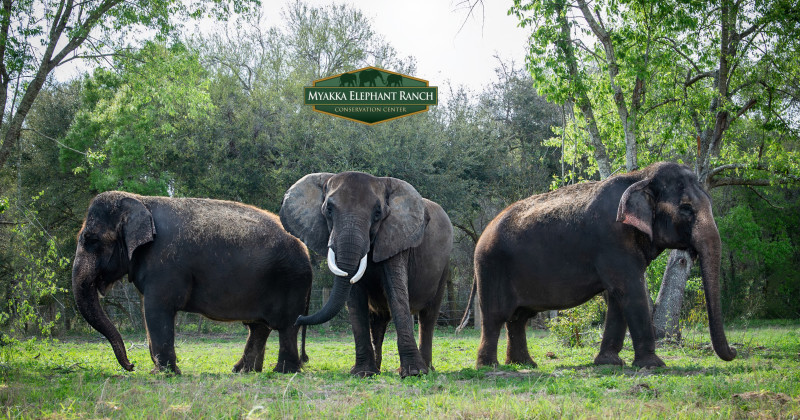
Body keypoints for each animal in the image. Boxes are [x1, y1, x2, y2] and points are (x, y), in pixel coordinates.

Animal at [72, 191, 313, 374]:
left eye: (91, 240)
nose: (131, 365)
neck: (139, 200)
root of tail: (306, 251)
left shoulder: (165, 265)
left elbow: (156, 308)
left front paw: (163, 373)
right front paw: (160, 370)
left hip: (291, 283)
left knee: (286, 326)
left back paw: (282, 371)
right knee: (258, 327)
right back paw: (243, 371)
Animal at [280, 172, 453, 377]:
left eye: (378, 213)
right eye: (329, 209)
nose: (298, 318)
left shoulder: (396, 238)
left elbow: (396, 294)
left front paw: (413, 373)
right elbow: (355, 299)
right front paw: (363, 373)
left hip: (444, 266)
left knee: (429, 315)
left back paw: (427, 368)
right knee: (378, 320)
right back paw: (377, 369)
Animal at [463, 162, 736, 369]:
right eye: (686, 208)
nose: (733, 350)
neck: (641, 176)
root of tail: (483, 234)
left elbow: (617, 296)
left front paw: (609, 363)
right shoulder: (613, 240)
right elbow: (631, 291)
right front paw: (653, 365)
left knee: (519, 318)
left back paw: (525, 364)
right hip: (490, 267)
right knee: (495, 317)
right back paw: (490, 367)